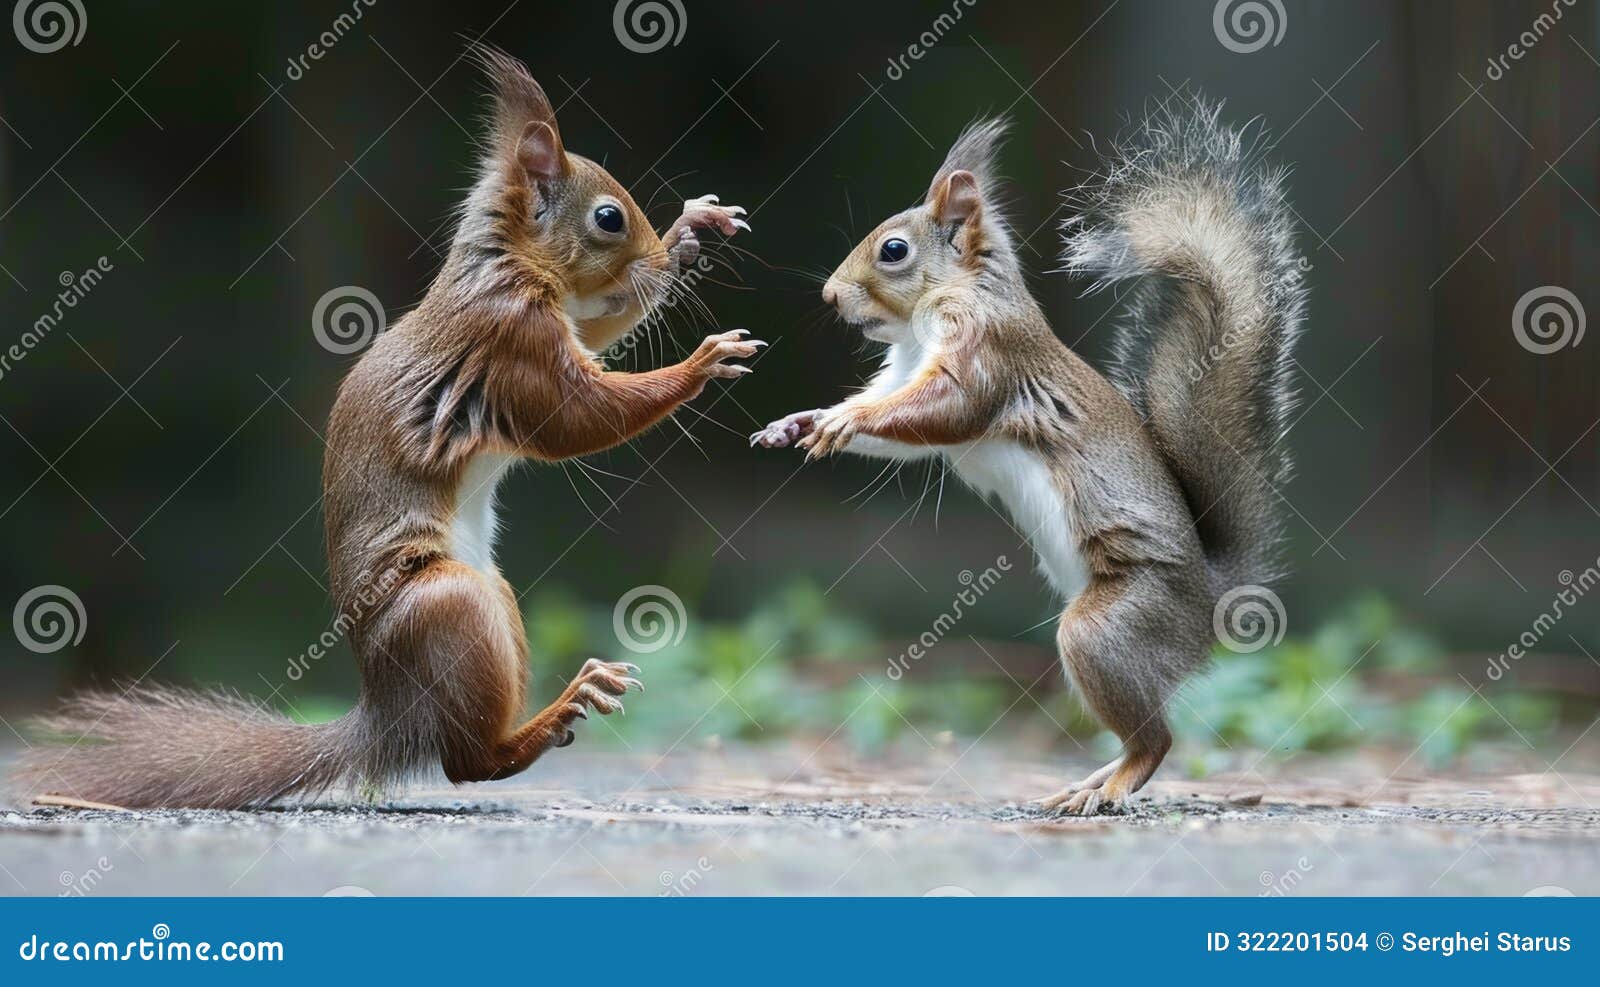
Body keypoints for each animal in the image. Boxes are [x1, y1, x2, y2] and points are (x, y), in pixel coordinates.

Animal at [17, 48, 760, 810]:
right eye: (608, 218)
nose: (658, 257)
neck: (506, 260)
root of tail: (390, 710)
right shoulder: (511, 340)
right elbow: (575, 417)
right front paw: (701, 361)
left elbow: (603, 328)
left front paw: (690, 232)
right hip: (450, 606)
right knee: (469, 761)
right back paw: (557, 711)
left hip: (493, 598)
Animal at [753, 98, 1305, 815]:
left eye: (894, 250)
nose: (827, 297)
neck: (934, 313)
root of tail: (1213, 599)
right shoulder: (902, 369)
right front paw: (802, 422)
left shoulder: (984, 352)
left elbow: (945, 411)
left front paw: (845, 418)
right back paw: (1090, 782)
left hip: (1110, 629)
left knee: (1156, 741)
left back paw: (1107, 790)